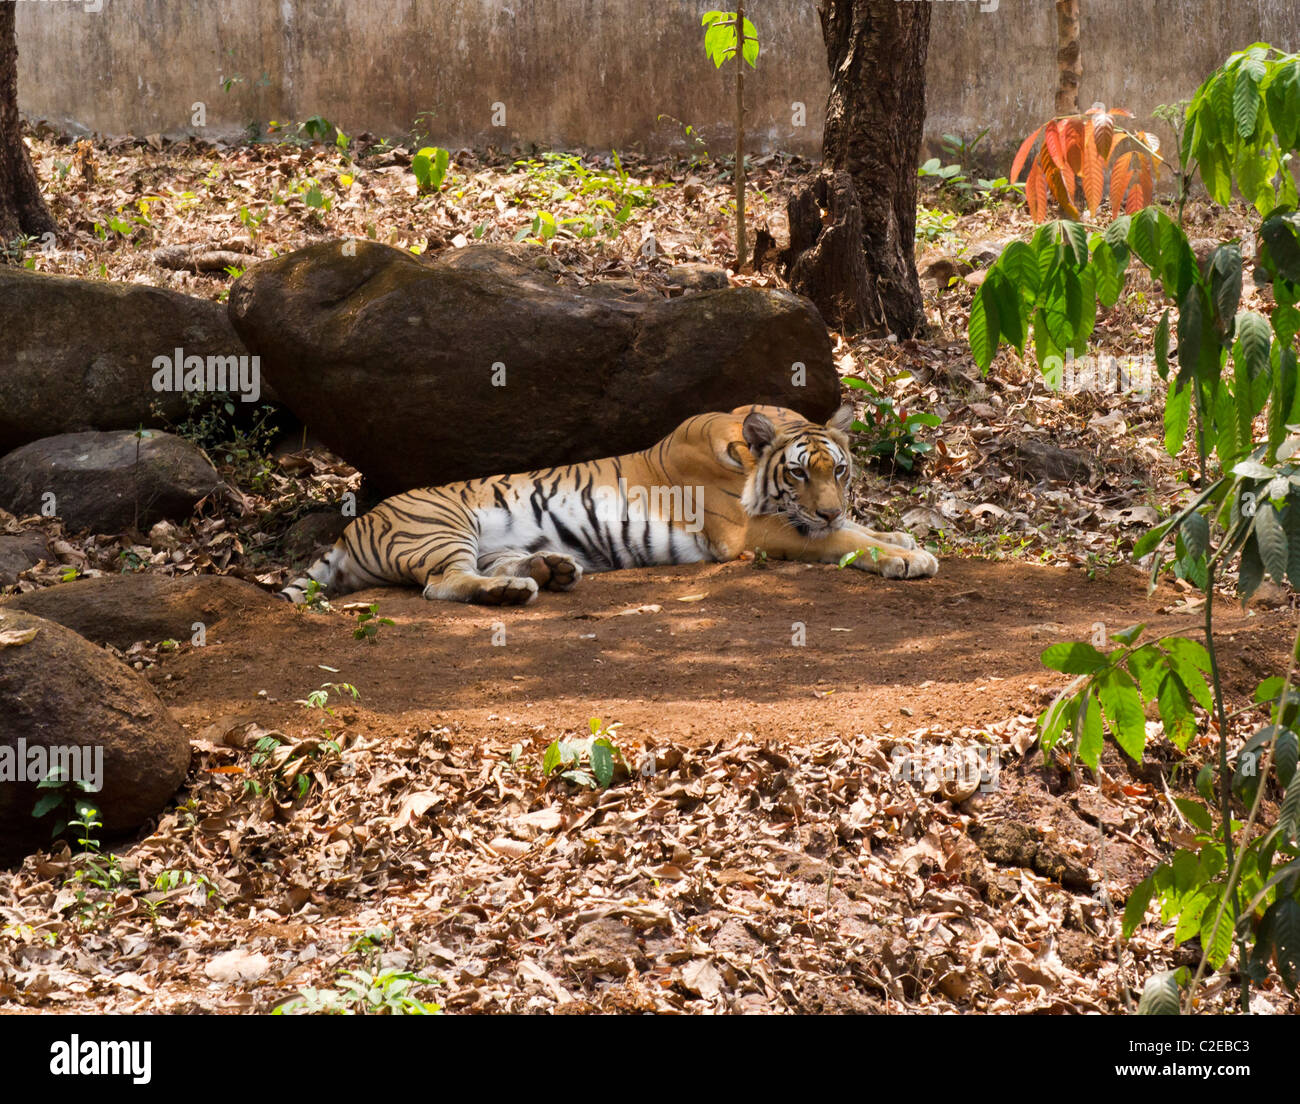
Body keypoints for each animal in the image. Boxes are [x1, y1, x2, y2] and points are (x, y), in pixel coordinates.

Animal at [278, 404, 939, 606]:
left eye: (841, 472)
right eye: (798, 474)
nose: (827, 508)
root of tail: (353, 527)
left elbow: (860, 528)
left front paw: (901, 539)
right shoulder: (748, 533)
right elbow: (842, 541)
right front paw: (909, 558)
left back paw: (550, 571)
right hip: (443, 526)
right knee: (441, 586)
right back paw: (515, 592)